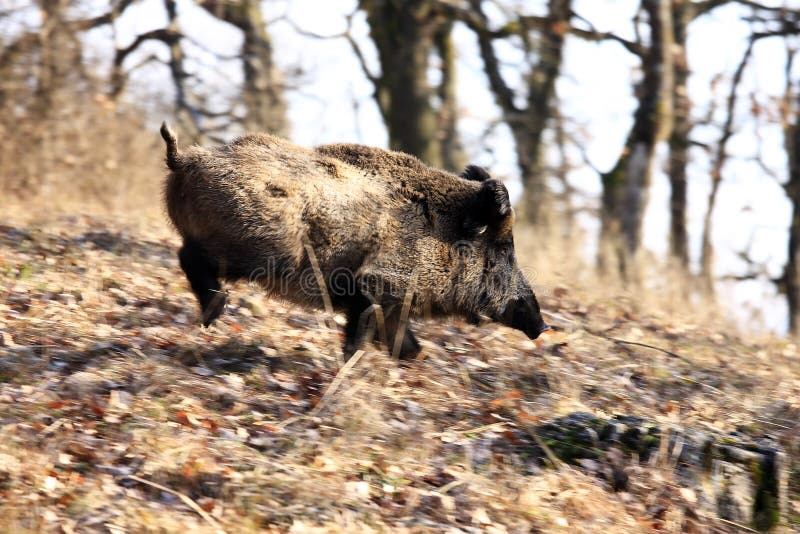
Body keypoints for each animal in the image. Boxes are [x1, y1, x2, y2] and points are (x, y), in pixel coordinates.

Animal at [160, 122, 549, 360]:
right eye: (504, 248)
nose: (543, 326)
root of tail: (186, 160)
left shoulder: (388, 302)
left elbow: (403, 343)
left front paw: (415, 359)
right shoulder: (376, 286)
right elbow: (363, 337)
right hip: (255, 249)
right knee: (188, 258)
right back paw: (215, 311)